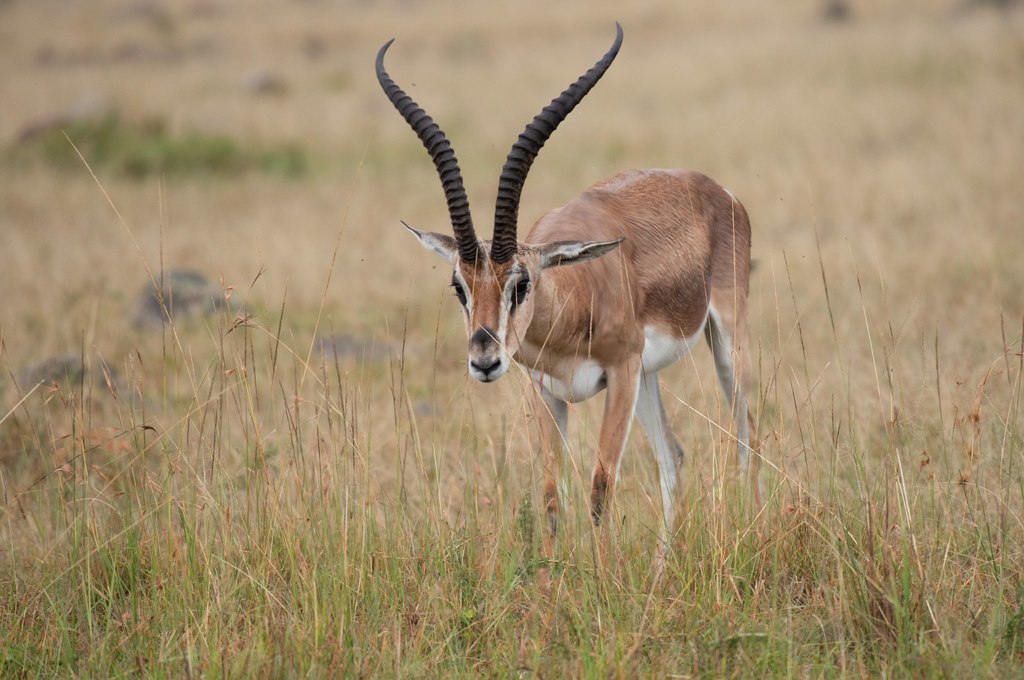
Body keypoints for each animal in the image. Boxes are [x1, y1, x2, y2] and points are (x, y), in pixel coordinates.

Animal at [375, 24, 760, 550]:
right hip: (647, 378)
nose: (485, 361)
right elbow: (552, 496)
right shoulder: (547, 392)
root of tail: (717, 189)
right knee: (673, 457)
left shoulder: (619, 375)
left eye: (520, 283)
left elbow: (600, 490)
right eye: (459, 286)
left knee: (746, 436)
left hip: (721, 343)